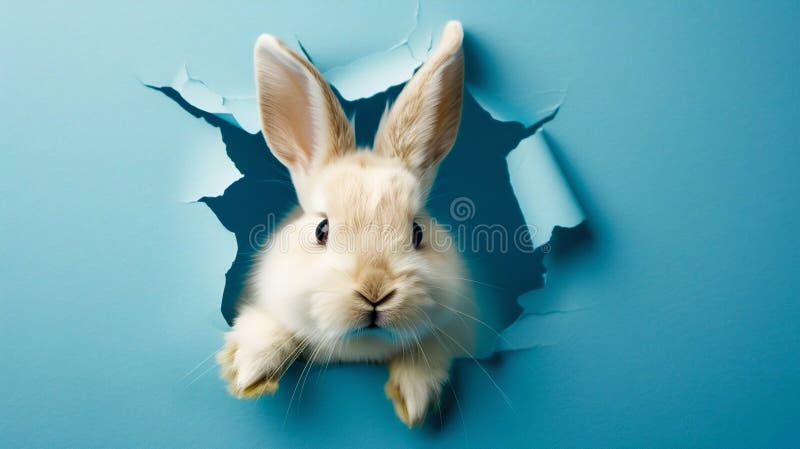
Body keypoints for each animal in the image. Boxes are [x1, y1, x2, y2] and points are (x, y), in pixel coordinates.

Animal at [216, 21, 475, 428]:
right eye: (321, 230)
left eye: (417, 232)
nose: (374, 291)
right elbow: (272, 327)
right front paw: (249, 369)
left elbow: (431, 349)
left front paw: (414, 397)